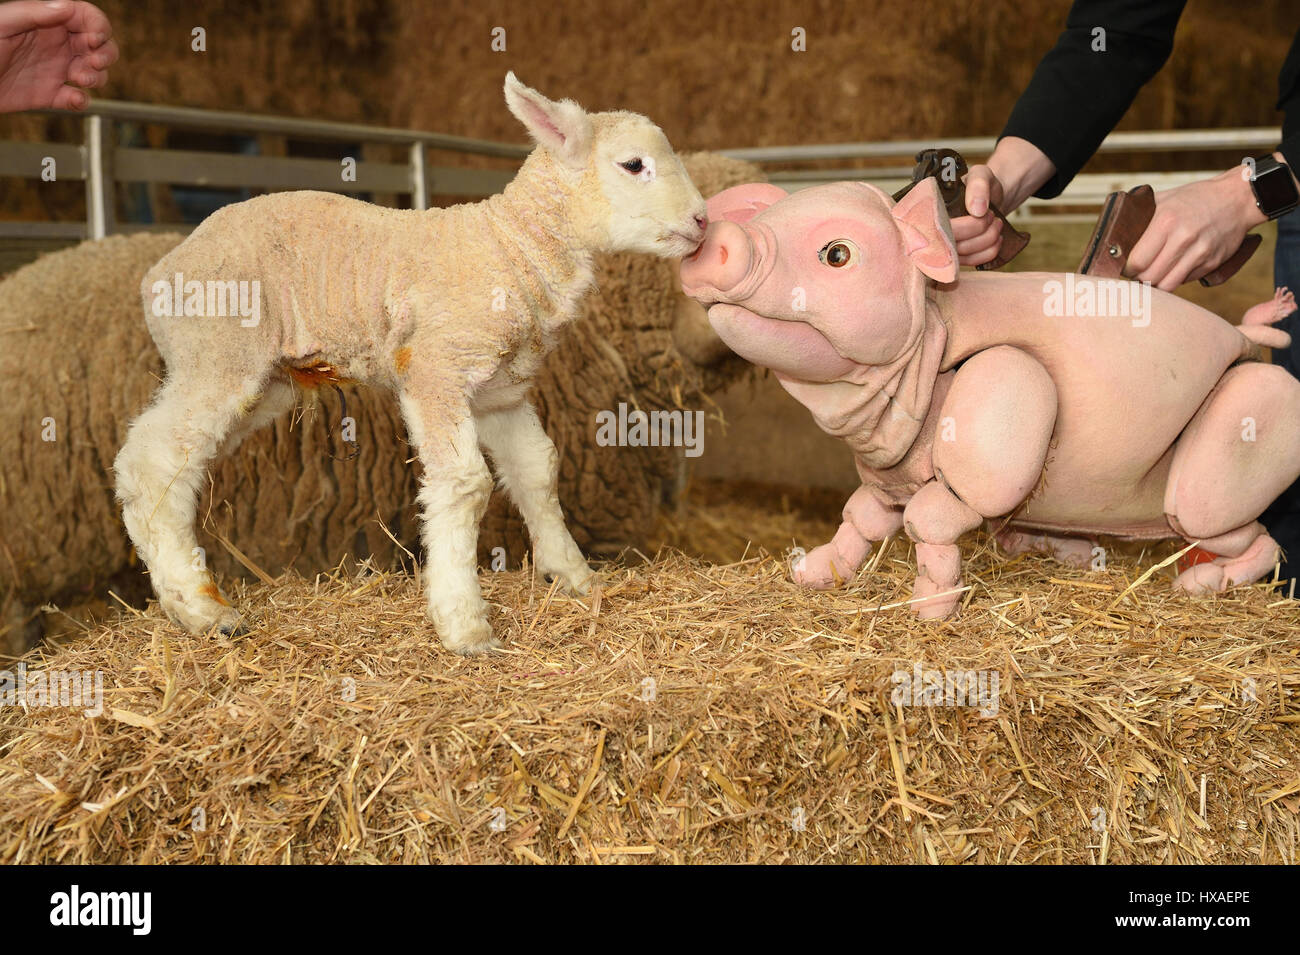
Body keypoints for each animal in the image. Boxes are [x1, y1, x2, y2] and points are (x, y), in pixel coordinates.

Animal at [110, 74, 711, 655]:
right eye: (633, 164)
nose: (703, 221)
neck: (509, 246)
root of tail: (157, 272)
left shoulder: (499, 392)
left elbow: (537, 470)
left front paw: (573, 576)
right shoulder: (437, 369)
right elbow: (466, 483)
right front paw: (464, 626)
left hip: (262, 381)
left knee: (180, 464)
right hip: (217, 353)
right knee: (150, 462)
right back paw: (202, 609)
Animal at [680, 178, 1300, 618]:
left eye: (837, 255)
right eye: (761, 222)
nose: (722, 239)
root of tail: (1244, 338)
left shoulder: (1005, 391)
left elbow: (929, 518)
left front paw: (930, 608)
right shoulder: (888, 474)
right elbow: (862, 517)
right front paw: (812, 574)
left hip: (1220, 466)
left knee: (1258, 540)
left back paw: (1197, 584)